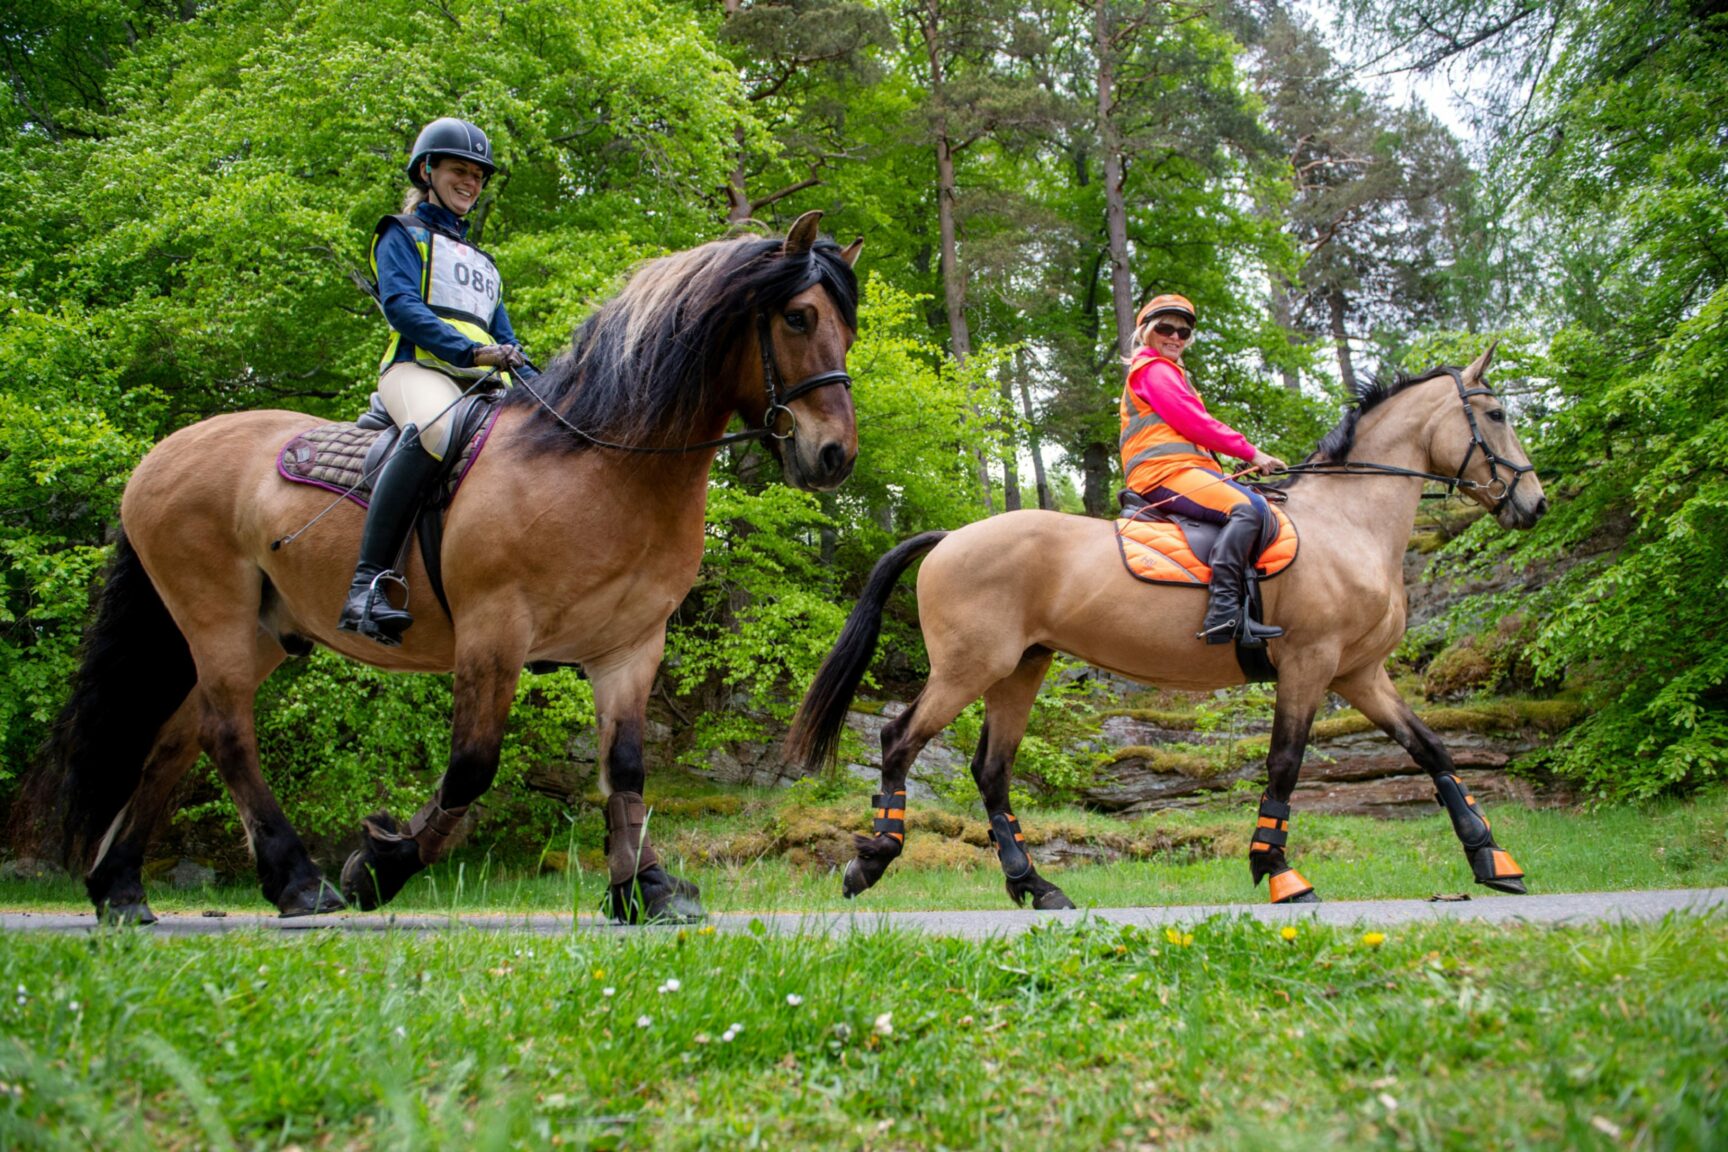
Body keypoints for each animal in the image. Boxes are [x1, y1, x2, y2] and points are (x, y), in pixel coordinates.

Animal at [51, 211, 862, 924]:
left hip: (260, 631)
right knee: (226, 732)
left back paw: (121, 890)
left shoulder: (630, 645)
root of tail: (158, 457)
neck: (603, 466)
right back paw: (301, 881)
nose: (833, 456)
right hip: (214, 613)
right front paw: (380, 864)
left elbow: (626, 770)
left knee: (175, 740)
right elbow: (472, 766)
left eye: (845, 328)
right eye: (797, 318)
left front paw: (649, 889)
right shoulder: (494, 630)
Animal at [788, 345, 1547, 909]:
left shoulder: (1359, 673)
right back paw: (872, 861)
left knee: (992, 771)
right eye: (1498, 413)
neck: (1346, 522)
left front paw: (1492, 857)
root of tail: (950, 539)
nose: (1534, 504)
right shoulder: (1309, 664)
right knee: (899, 741)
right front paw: (1279, 873)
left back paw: (1036, 885)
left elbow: (1432, 749)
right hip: (969, 668)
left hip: (1021, 669)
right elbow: (1286, 762)